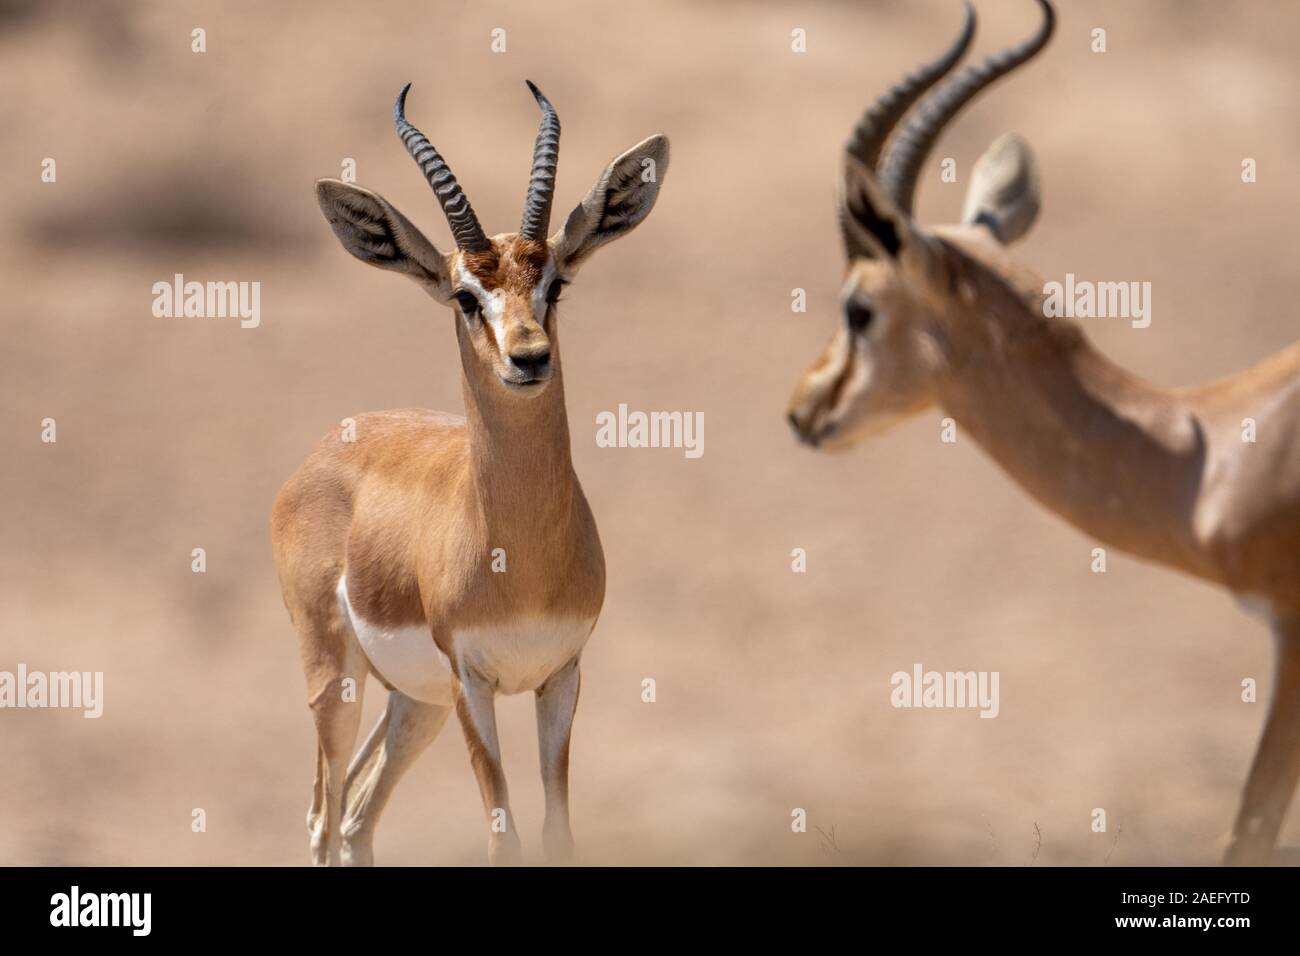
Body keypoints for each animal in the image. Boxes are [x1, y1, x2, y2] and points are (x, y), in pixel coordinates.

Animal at [272, 81, 668, 865]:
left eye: (556, 283)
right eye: (464, 296)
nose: (529, 357)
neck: (520, 557)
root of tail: (325, 450)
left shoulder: (560, 676)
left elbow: (556, 832)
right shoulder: (472, 684)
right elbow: (503, 837)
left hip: (412, 702)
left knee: (358, 815)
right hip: (338, 682)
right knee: (324, 818)